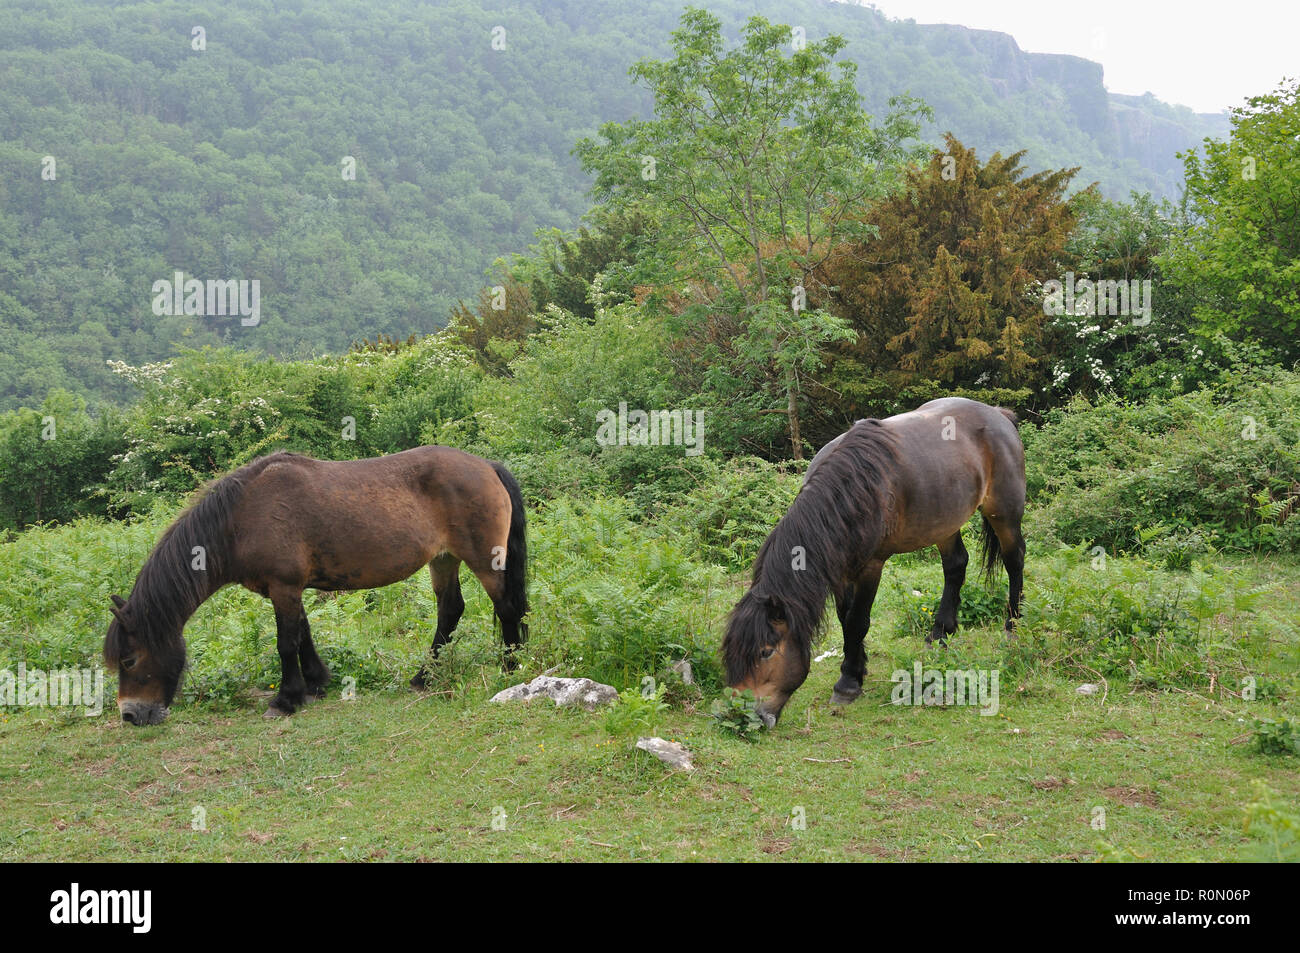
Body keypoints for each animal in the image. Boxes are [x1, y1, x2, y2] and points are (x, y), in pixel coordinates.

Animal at [103, 446, 528, 726]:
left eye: (129, 659)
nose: (130, 714)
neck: (240, 517)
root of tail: (487, 466)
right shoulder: (287, 589)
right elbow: (303, 634)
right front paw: (315, 683)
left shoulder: (284, 587)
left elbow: (285, 642)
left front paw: (286, 699)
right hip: (443, 559)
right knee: (450, 611)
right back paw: (424, 677)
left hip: (484, 560)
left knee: (505, 607)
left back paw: (510, 667)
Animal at [721, 397, 1025, 727]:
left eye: (765, 652)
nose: (740, 717)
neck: (849, 493)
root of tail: (998, 414)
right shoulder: (840, 570)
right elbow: (845, 620)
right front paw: (856, 667)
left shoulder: (871, 566)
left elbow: (857, 621)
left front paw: (847, 684)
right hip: (944, 522)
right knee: (956, 566)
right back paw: (939, 635)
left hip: (1004, 512)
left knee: (1015, 560)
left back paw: (1013, 627)